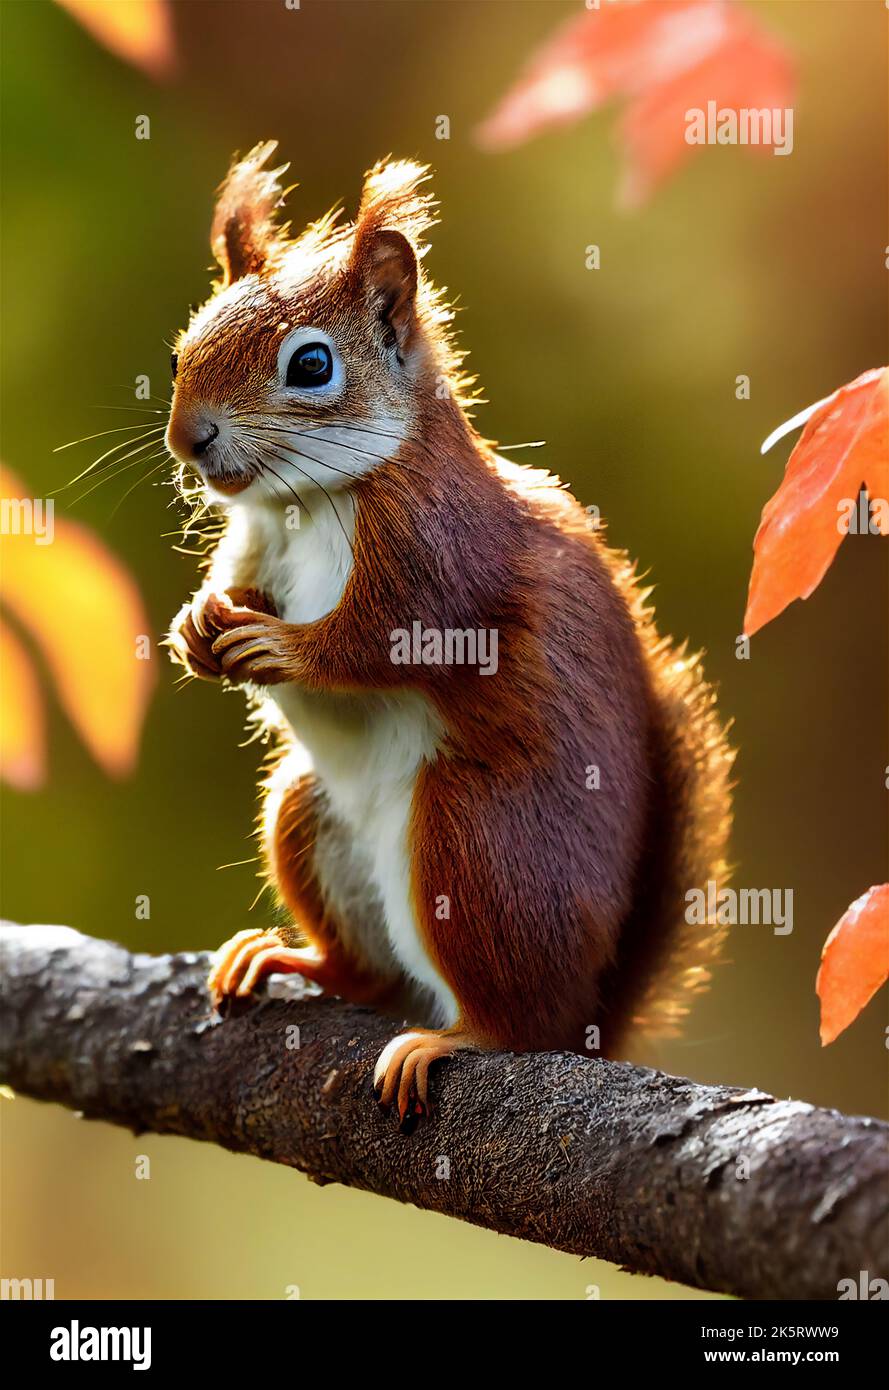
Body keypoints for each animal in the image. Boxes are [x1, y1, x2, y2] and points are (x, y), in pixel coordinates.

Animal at [165, 142, 733, 1124]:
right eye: (180, 351)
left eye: (309, 366)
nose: (187, 438)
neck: (306, 501)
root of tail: (586, 1019)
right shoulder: (255, 540)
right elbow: (232, 588)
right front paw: (198, 621)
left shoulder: (437, 551)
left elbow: (382, 639)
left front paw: (286, 650)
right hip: (306, 813)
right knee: (364, 973)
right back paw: (290, 958)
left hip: (473, 842)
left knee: (508, 1015)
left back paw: (458, 1037)